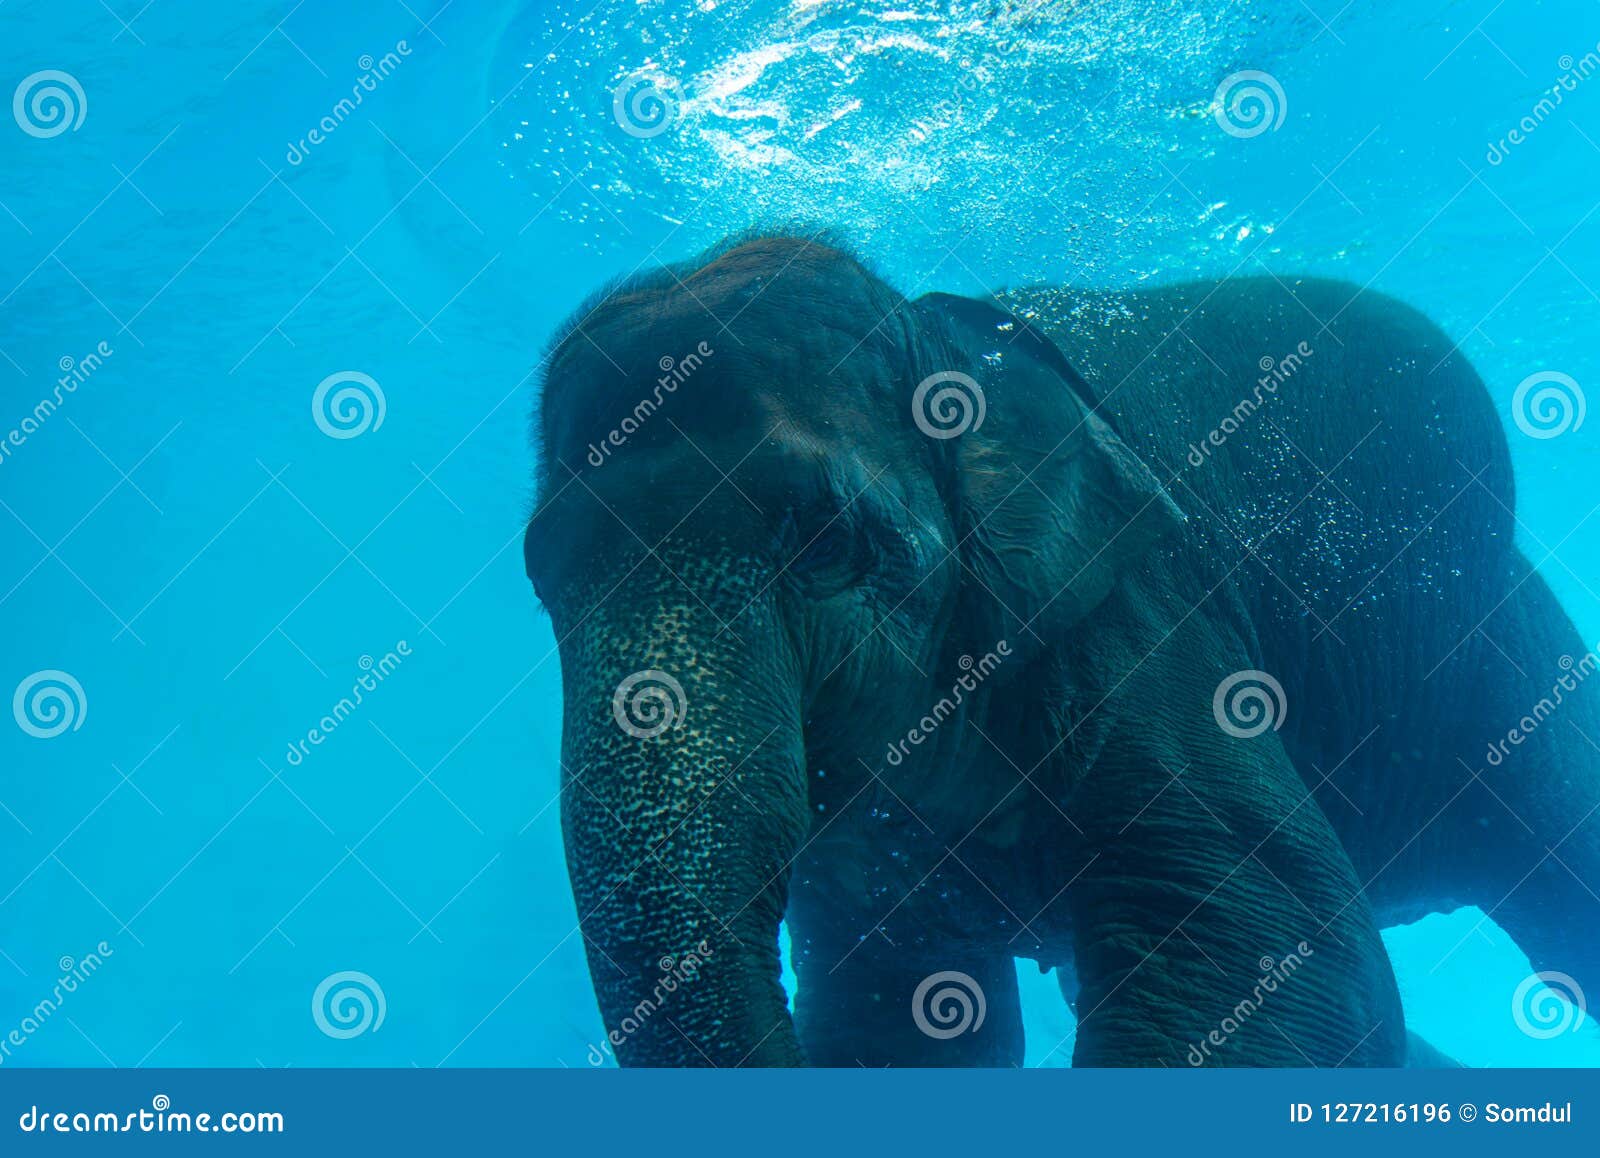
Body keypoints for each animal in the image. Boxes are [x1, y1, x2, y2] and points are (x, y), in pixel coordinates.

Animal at [524, 231, 1600, 1067]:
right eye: (540, 577)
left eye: (825, 541)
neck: (939, 344)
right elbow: (901, 1019)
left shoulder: (1140, 606)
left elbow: (1280, 944)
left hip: (1512, 666)